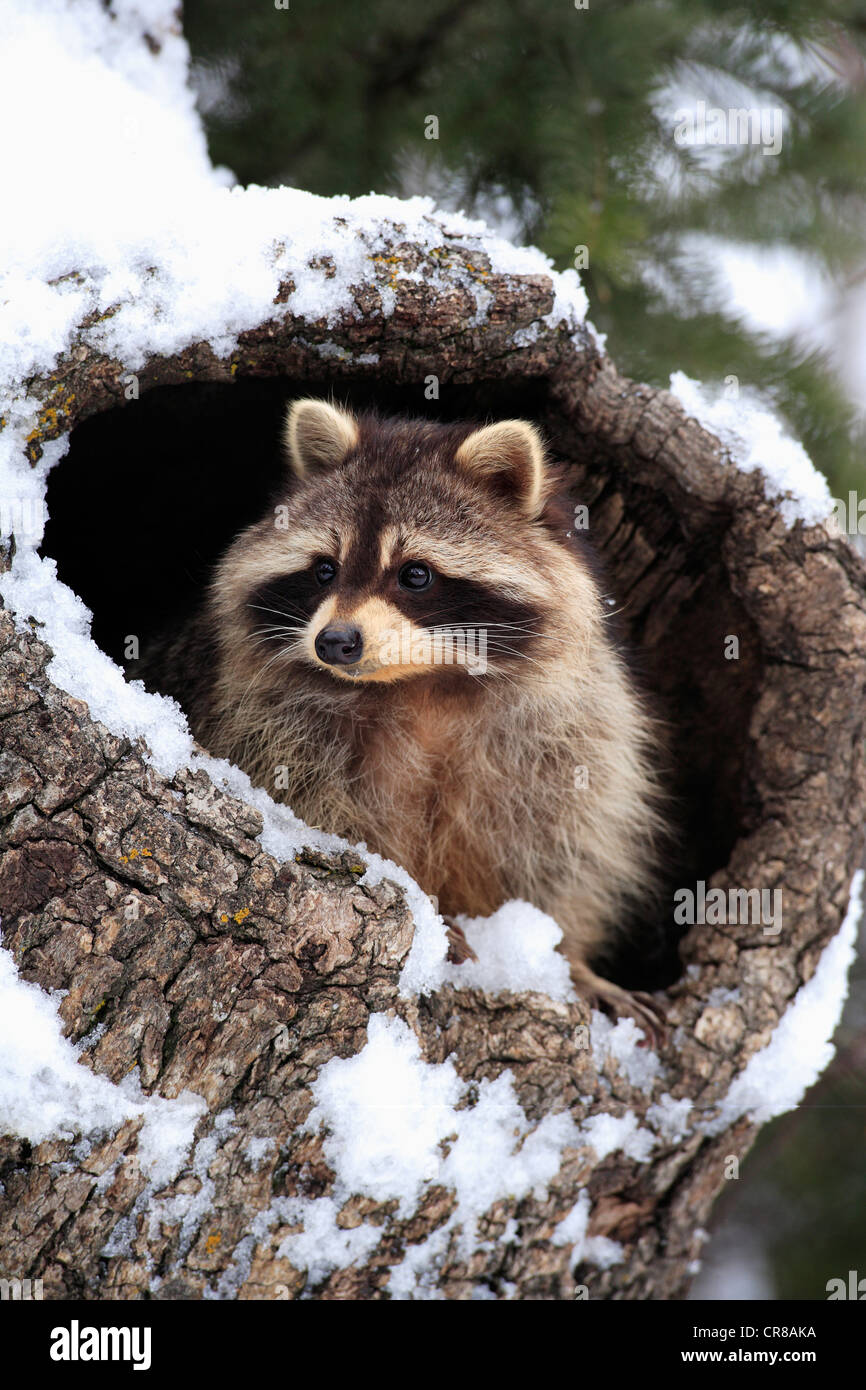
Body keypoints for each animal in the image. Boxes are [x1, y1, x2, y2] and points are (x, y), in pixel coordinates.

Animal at [141, 399, 667, 1037]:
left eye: (415, 574)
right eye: (325, 569)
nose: (335, 642)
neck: (418, 686)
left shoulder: (571, 729)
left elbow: (560, 847)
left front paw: (567, 956)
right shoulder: (266, 720)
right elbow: (322, 817)